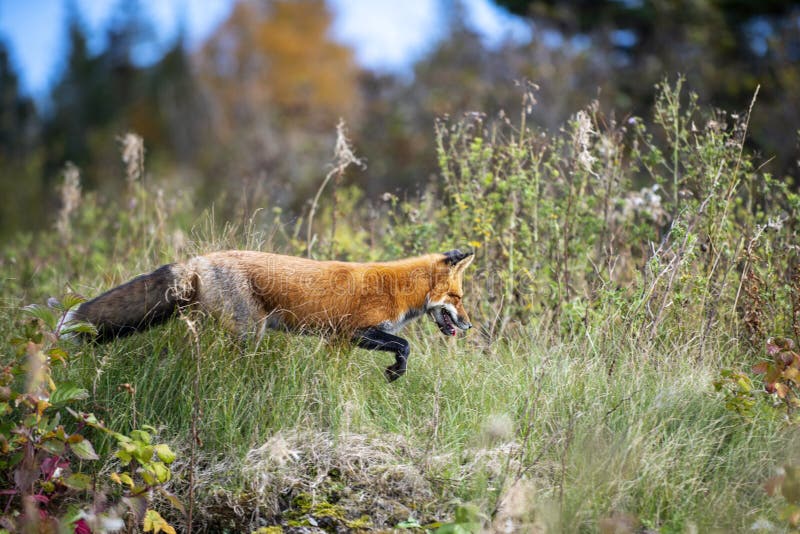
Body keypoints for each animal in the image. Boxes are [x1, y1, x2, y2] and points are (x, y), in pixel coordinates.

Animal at [64, 249, 475, 381]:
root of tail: (199, 260)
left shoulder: (335, 342)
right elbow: (404, 345)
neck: (398, 288)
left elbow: (329, 373)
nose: (469, 325)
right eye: (457, 297)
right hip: (250, 332)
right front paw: (395, 372)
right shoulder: (354, 331)